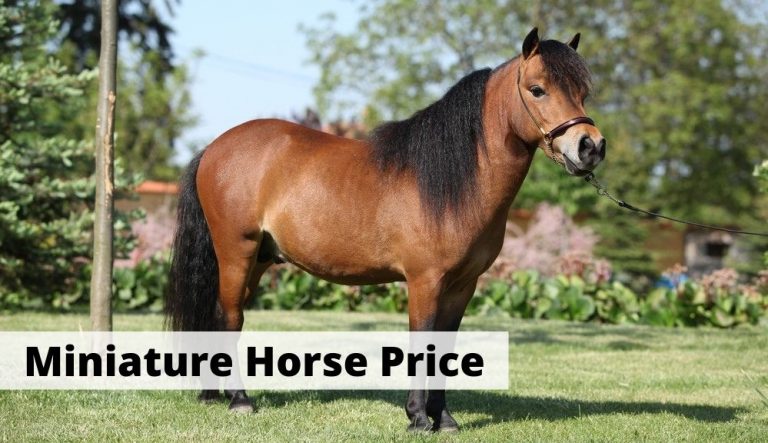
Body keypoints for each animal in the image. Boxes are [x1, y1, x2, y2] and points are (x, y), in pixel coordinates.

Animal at [165, 27, 605, 432]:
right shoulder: (425, 281)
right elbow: (423, 341)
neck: (451, 181)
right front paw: (418, 419)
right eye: (537, 89)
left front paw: (444, 419)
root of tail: (213, 148)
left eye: (582, 91)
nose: (590, 147)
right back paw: (239, 400)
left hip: (258, 259)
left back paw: (215, 394)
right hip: (235, 252)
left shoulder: (463, 284)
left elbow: (445, 346)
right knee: (230, 316)